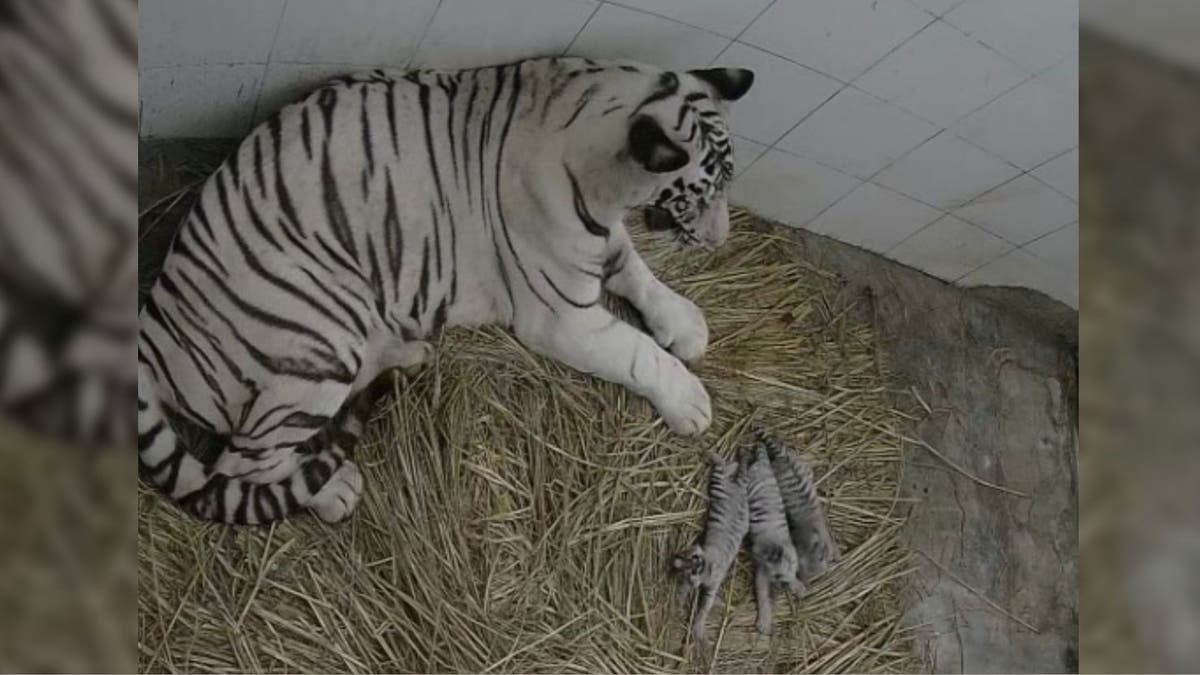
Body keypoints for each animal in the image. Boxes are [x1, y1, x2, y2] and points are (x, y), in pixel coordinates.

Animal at [137, 56, 754, 525]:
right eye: (697, 194)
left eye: (727, 184)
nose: (720, 241)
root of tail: (153, 327)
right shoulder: (563, 315)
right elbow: (638, 352)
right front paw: (690, 400)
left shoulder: (601, 246)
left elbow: (637, 271)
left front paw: (686, 323)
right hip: (318, 332)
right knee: (241, 465)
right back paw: (335, 490)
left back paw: (410, 356)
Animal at [672, 451, 749, 645]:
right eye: (689, 556)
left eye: (694, 560)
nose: (675, 561)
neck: (707, 565)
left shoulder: (712, 584)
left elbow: (705, 605)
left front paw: (698, 627)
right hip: (722, 485)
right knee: (728, 468)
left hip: (720, 485)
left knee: (725, 469)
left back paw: (716, 456)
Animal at [739, 443, 802, 635]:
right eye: (777, 575)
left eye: (794, 568)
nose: (785, 584)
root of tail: (763, 463)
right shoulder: (761, 571)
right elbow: (763, 596)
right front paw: (764, 624)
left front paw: (798, 587)